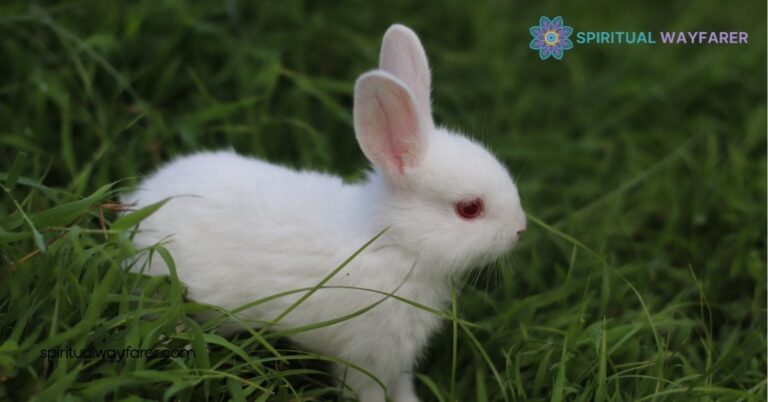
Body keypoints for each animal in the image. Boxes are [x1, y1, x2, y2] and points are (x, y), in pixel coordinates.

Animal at [122, 24, 526, 402]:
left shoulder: (396, 361)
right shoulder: (366, 358)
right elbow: (369, 391)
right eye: (469, 208)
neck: (392, 243)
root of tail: (137, 202)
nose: (520, 229)